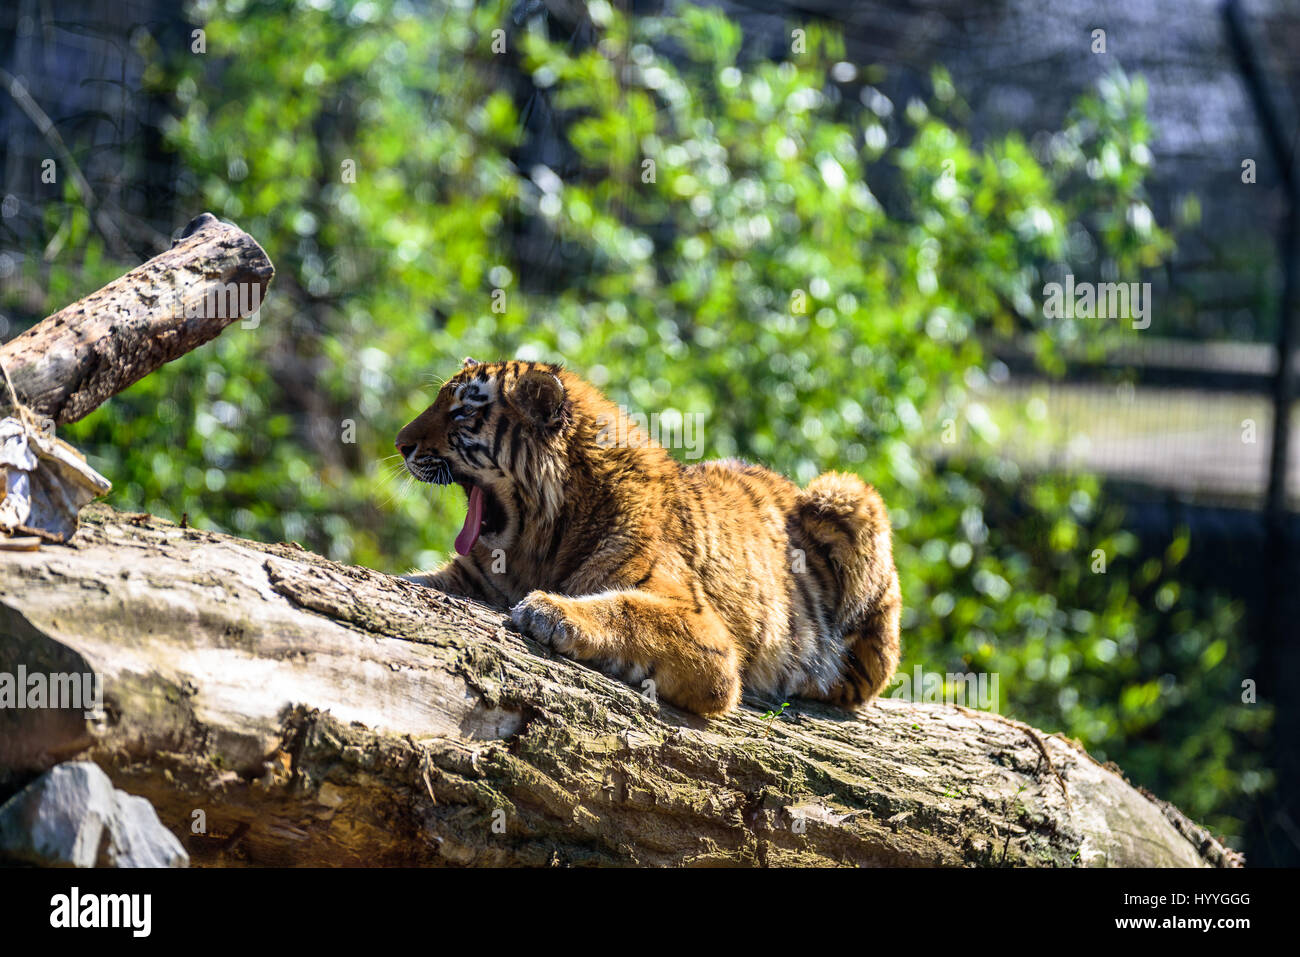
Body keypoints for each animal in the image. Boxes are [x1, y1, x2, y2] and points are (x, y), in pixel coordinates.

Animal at [394, 358, 901, 718]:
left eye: (462, 411)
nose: (400, 444)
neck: (535, 540)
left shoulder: (702, 630)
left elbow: (628, 612)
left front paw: (548, 611)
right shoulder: (472, 576)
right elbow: (416, 580)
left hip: (845, 492)